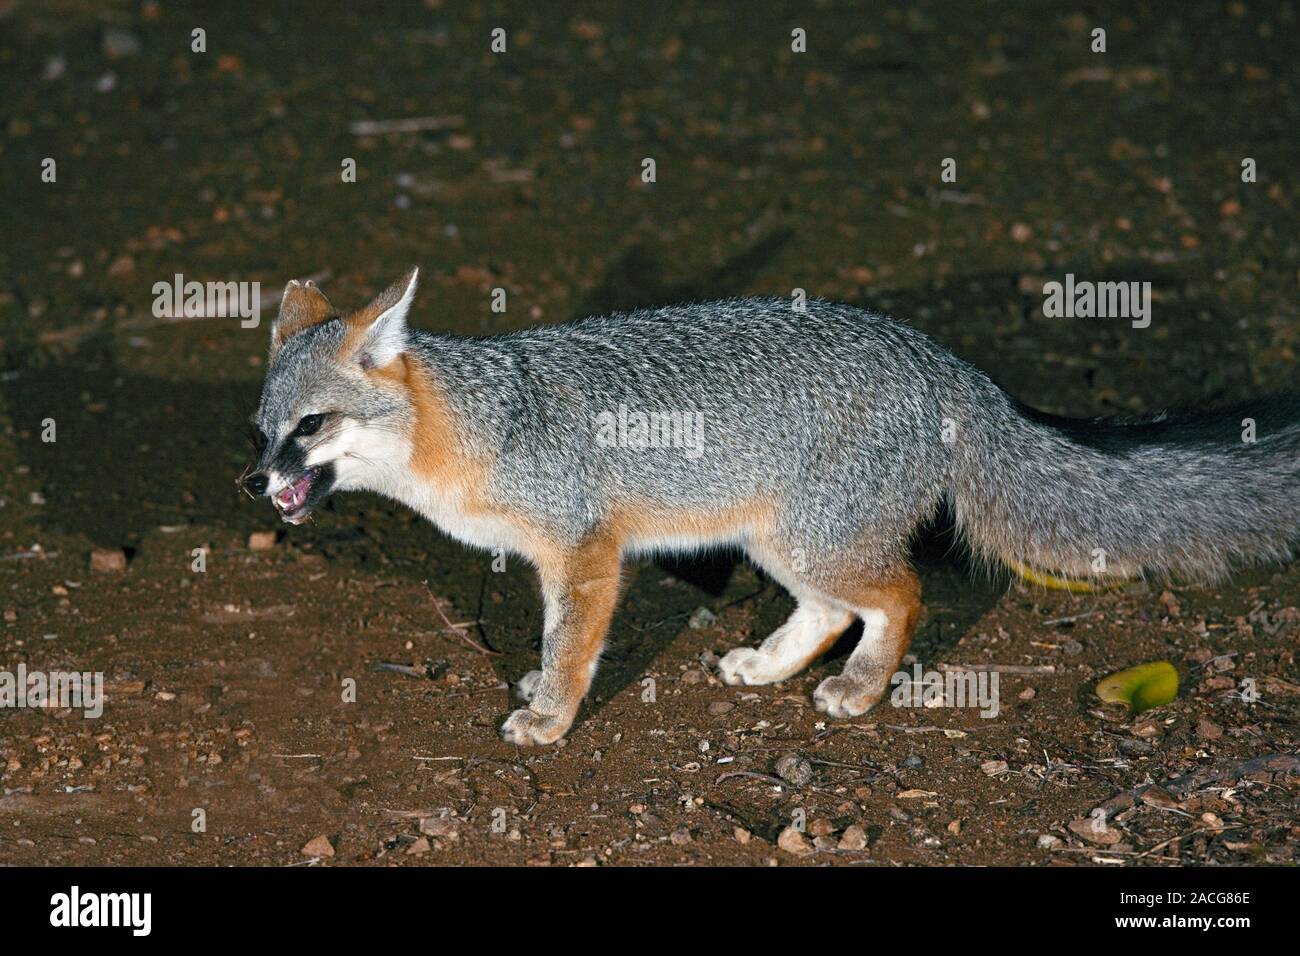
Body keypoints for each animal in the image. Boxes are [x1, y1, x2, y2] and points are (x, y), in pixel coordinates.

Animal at [244, 268, 1300, 745]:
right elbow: (549, 638)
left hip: (814, 539)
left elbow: (573, 646)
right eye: (260, 431)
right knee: (835, 610)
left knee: (901, 596)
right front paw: (540, 692)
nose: (251, 484)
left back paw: (861, 688)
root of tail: (944, 360)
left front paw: (550, 718)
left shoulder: (585, 554)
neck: (477, 425)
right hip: (779, 541)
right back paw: (774, 664)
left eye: (311, 426)